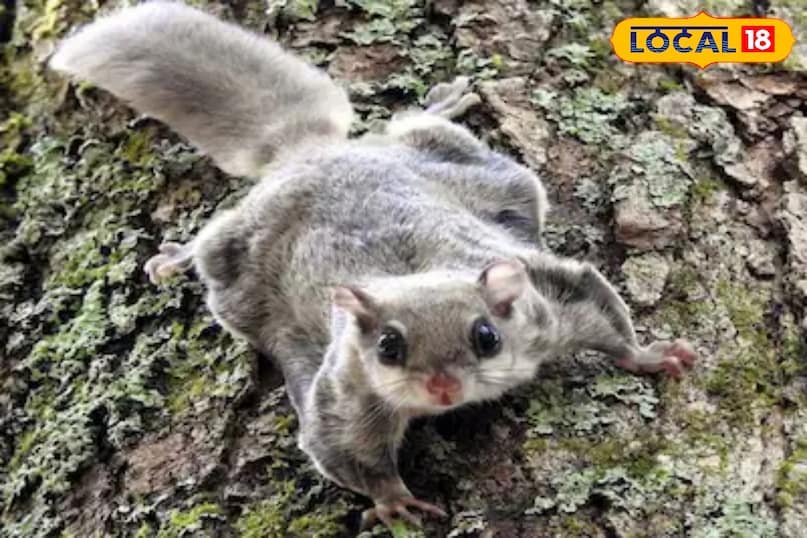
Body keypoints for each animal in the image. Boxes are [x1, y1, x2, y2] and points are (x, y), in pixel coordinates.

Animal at [49, 1, 697, 528]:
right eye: (388, 347)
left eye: (487, 336)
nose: (442, 387)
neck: (416, 274)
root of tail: (311, 153)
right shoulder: (347, 391)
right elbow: (345, 452)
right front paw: (393, 501)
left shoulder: (547, 301)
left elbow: (598, 311)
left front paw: (650, 355)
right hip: (234, 255)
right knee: (211, 242)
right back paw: (177, 257)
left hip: (470, 166)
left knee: (413, 124)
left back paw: (444, 100)